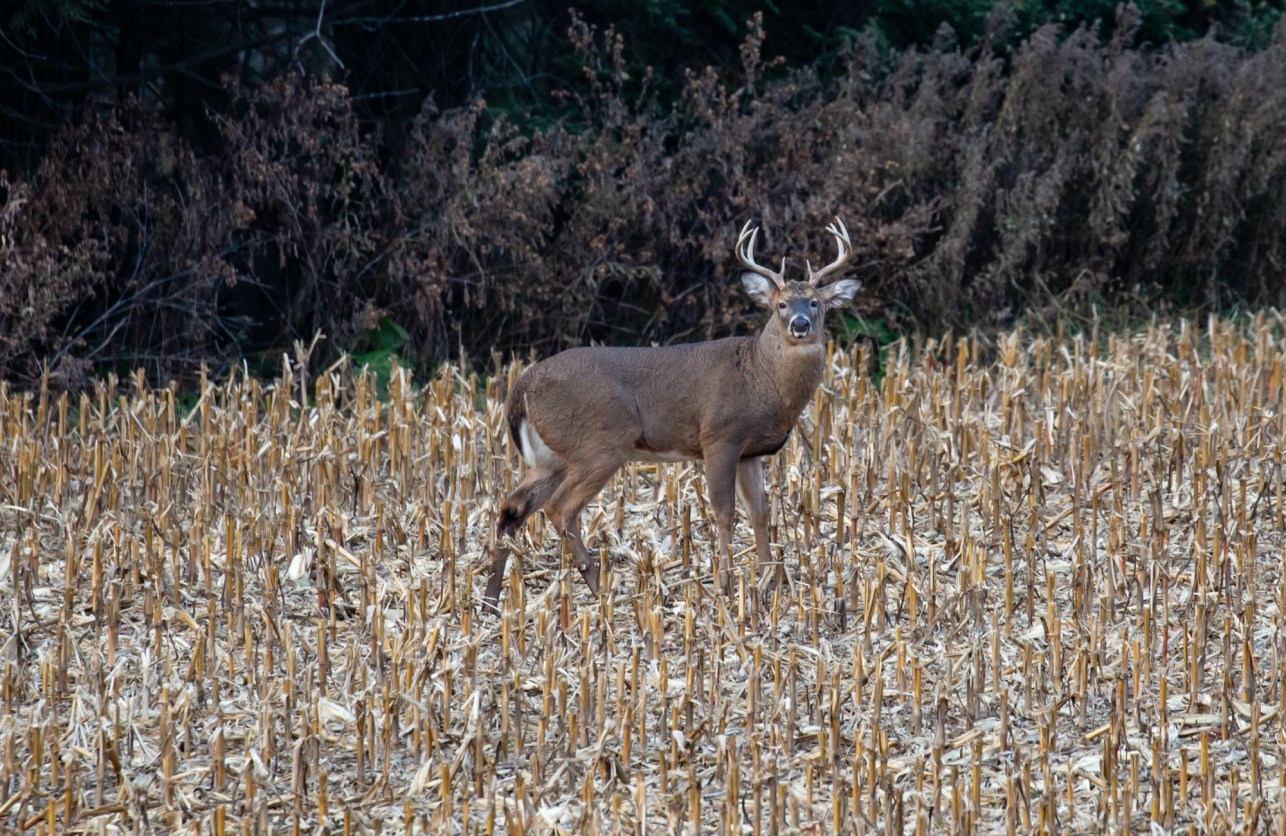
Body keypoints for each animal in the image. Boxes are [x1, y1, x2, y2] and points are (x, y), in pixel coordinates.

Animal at [482, 218, 861, 612]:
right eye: (780, 304)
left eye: (816, 302)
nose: (800, 325)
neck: (761, 375)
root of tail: (521, 386)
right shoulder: (719, 436)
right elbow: (725, 513)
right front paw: (725, 587)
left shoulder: (750, 453)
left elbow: (760, 512)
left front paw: (771, 584)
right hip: (601, 444)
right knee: (560, 507)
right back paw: (598, 588)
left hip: (553, 455)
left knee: (513, 506)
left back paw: (491, 599)